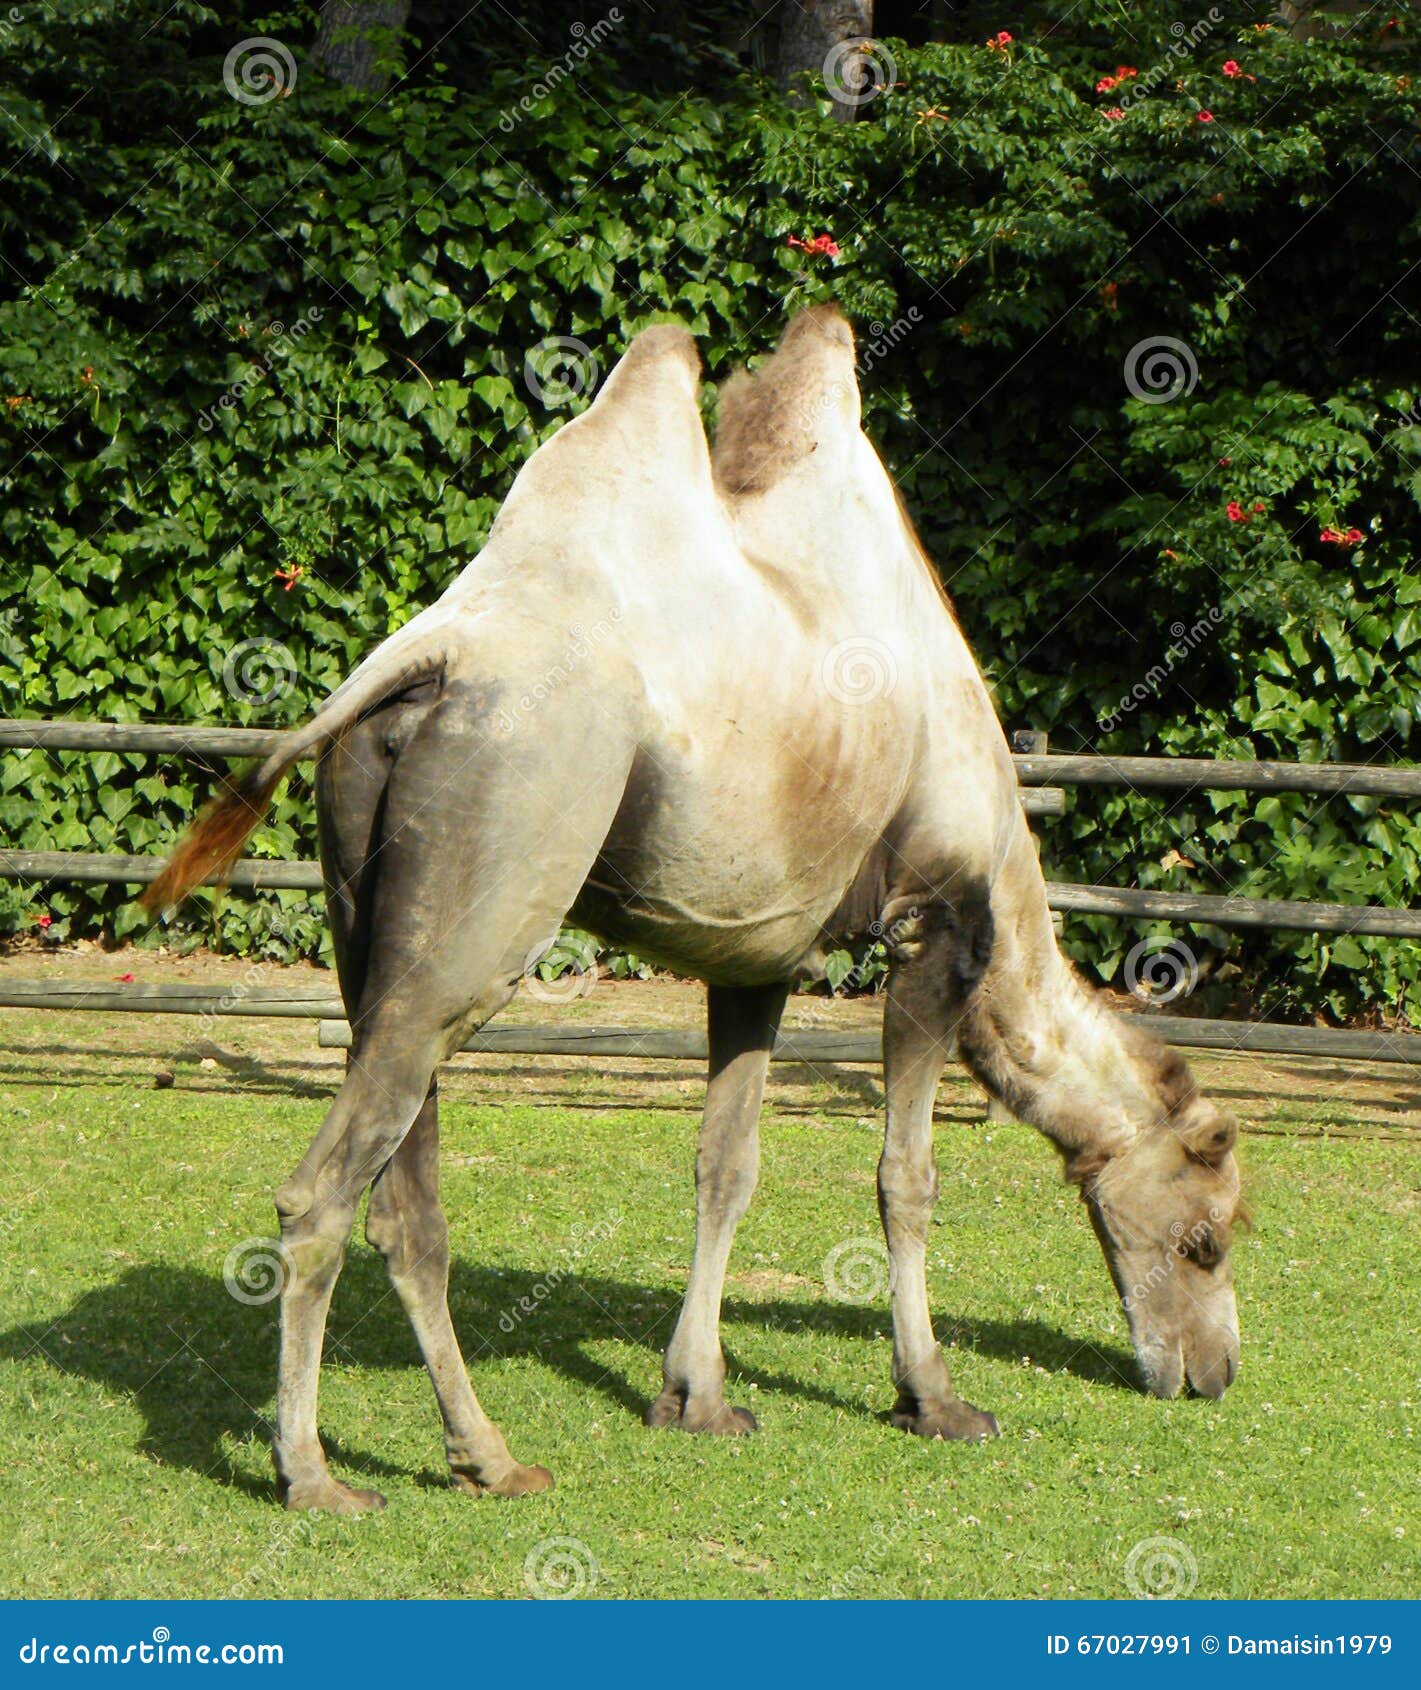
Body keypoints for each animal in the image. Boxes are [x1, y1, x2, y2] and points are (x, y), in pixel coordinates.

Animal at [144, 307, 1243, 1513]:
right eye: (1205, 1236)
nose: (1211, 1373)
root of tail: (420, 660)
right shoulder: (936, 925)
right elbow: (904, 1177)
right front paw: (934, 1399)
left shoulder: (755, 959)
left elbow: (727, 1165)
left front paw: (697, 1397)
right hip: (490, 904)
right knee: (320, 1194)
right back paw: (314, 1475)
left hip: (370, 927)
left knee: (405, 1200)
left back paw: (487, 1458)